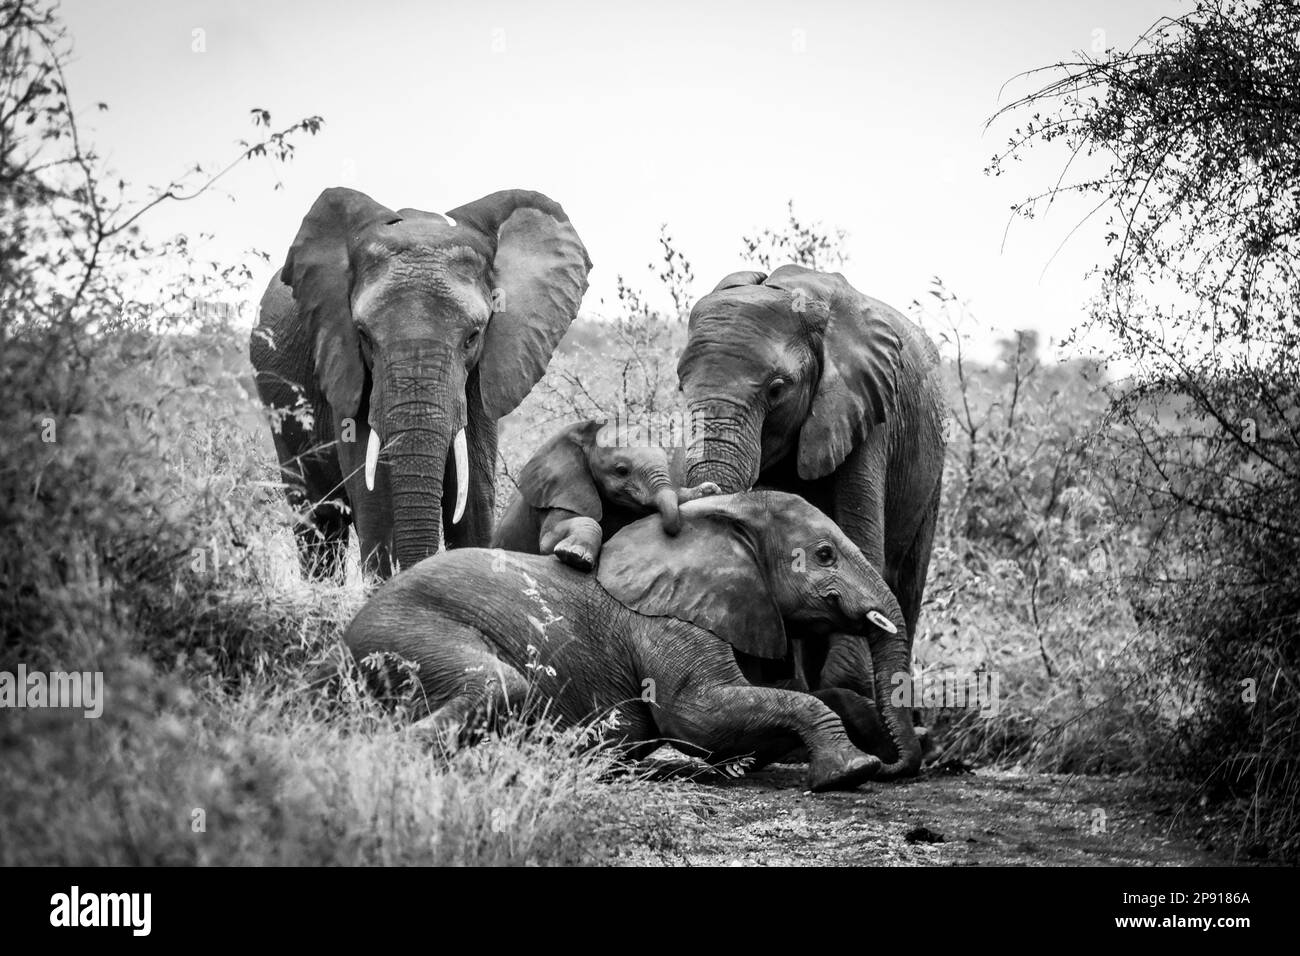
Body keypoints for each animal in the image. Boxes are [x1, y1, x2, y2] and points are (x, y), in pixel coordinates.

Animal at [341, 491, 909, 792]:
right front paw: (852, 771)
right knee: (500, 687)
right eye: (825, 554)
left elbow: (807, 696)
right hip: (409, 633)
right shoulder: (665, 624)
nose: (896, 767)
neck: (723, 514)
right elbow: (696, 718)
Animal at [490, 418, 720, 571]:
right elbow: (548, 542)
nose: (673, 530)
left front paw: (708, 491)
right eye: (621, 470)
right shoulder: (563, 494)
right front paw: (574, 556)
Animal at [676, 265, 946, 779]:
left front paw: (852, 702)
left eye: (777, 389)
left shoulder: (866, 413)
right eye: (681, 387)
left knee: (907, 579)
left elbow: (860, 536)